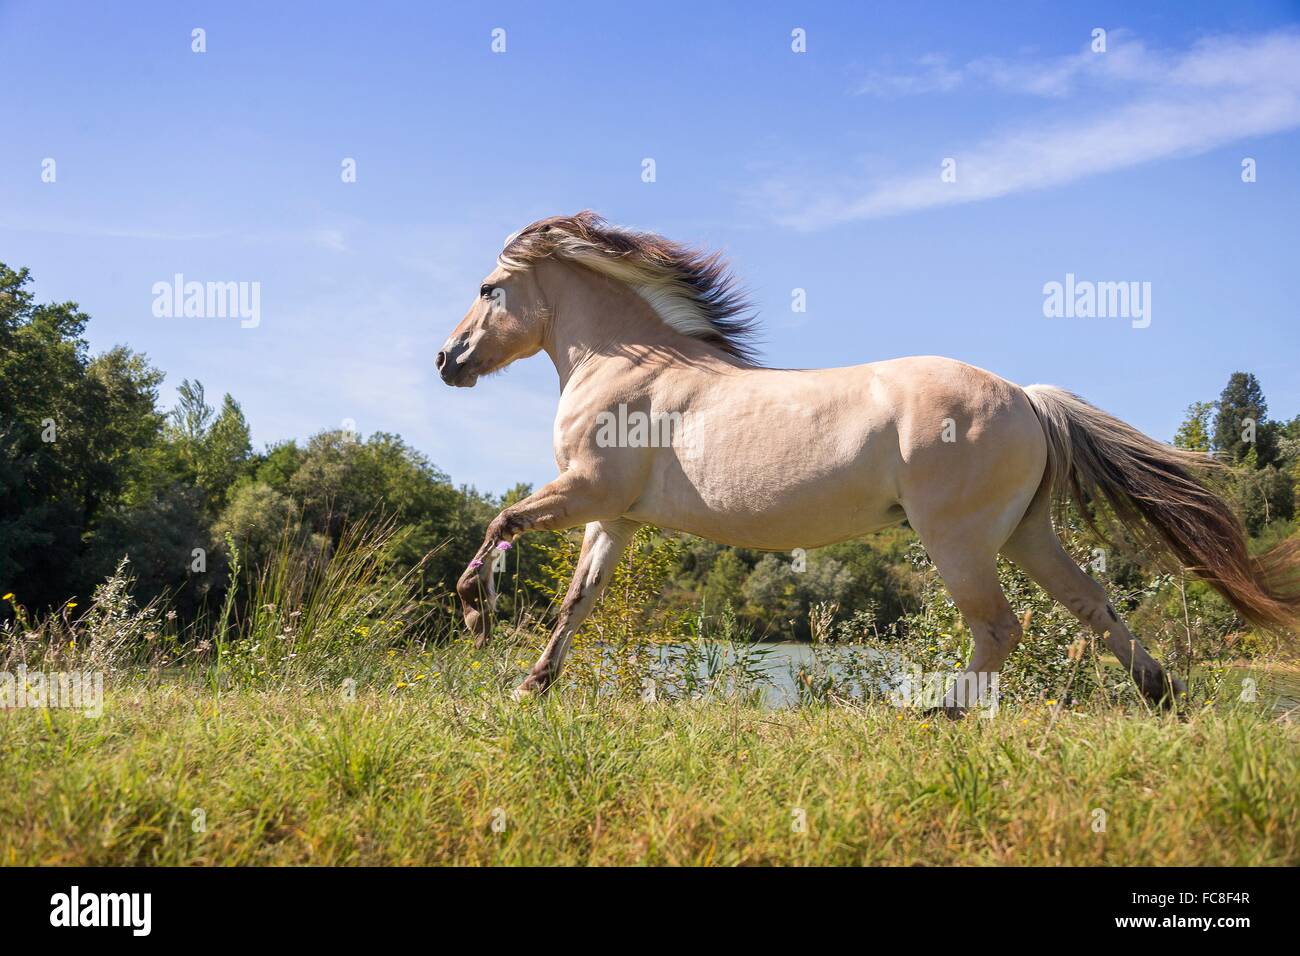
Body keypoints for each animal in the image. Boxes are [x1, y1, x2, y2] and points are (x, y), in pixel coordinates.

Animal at [436, 211, 1299, 712]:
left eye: (488, 288)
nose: (447, 360)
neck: (626, 364)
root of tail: (1026, 397)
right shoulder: (611, 517)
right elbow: (576, 602)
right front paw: (530, 685)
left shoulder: (584, 490)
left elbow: (500, 523)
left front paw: (478, 620)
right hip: (1027, 533)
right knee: (1091, 604)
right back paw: (1161, 692)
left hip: (957, 540)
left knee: (1001, 626)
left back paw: (937, 710)